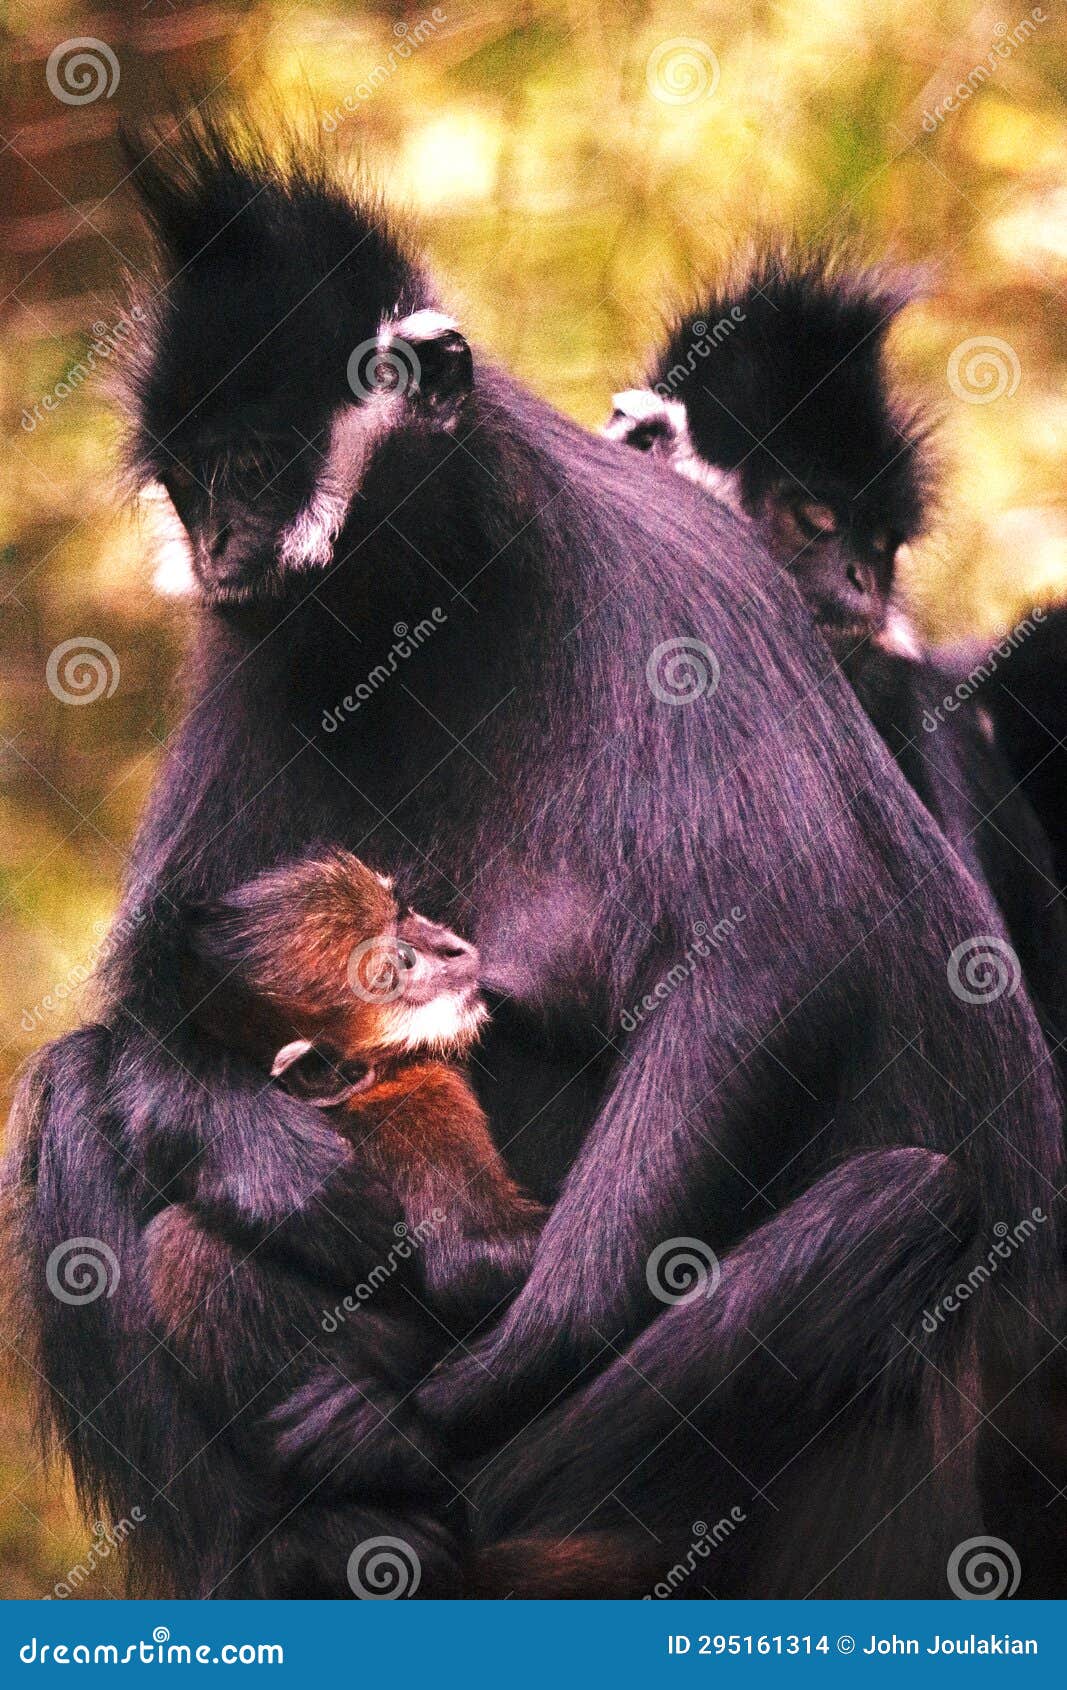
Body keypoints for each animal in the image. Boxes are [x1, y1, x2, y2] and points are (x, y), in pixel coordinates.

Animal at [10, 116, 1065, 1598]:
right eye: (194, 478)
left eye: (260, 464)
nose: (216, 543)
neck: (440, 610)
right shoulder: (264, 650)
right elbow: (162, 993)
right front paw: (283, 1167)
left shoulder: (666, 585)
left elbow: (774, 952)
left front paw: (504, 1337)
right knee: (73, 1081)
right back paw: (306, 1536)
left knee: (905, 1205)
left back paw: (416, 1449)